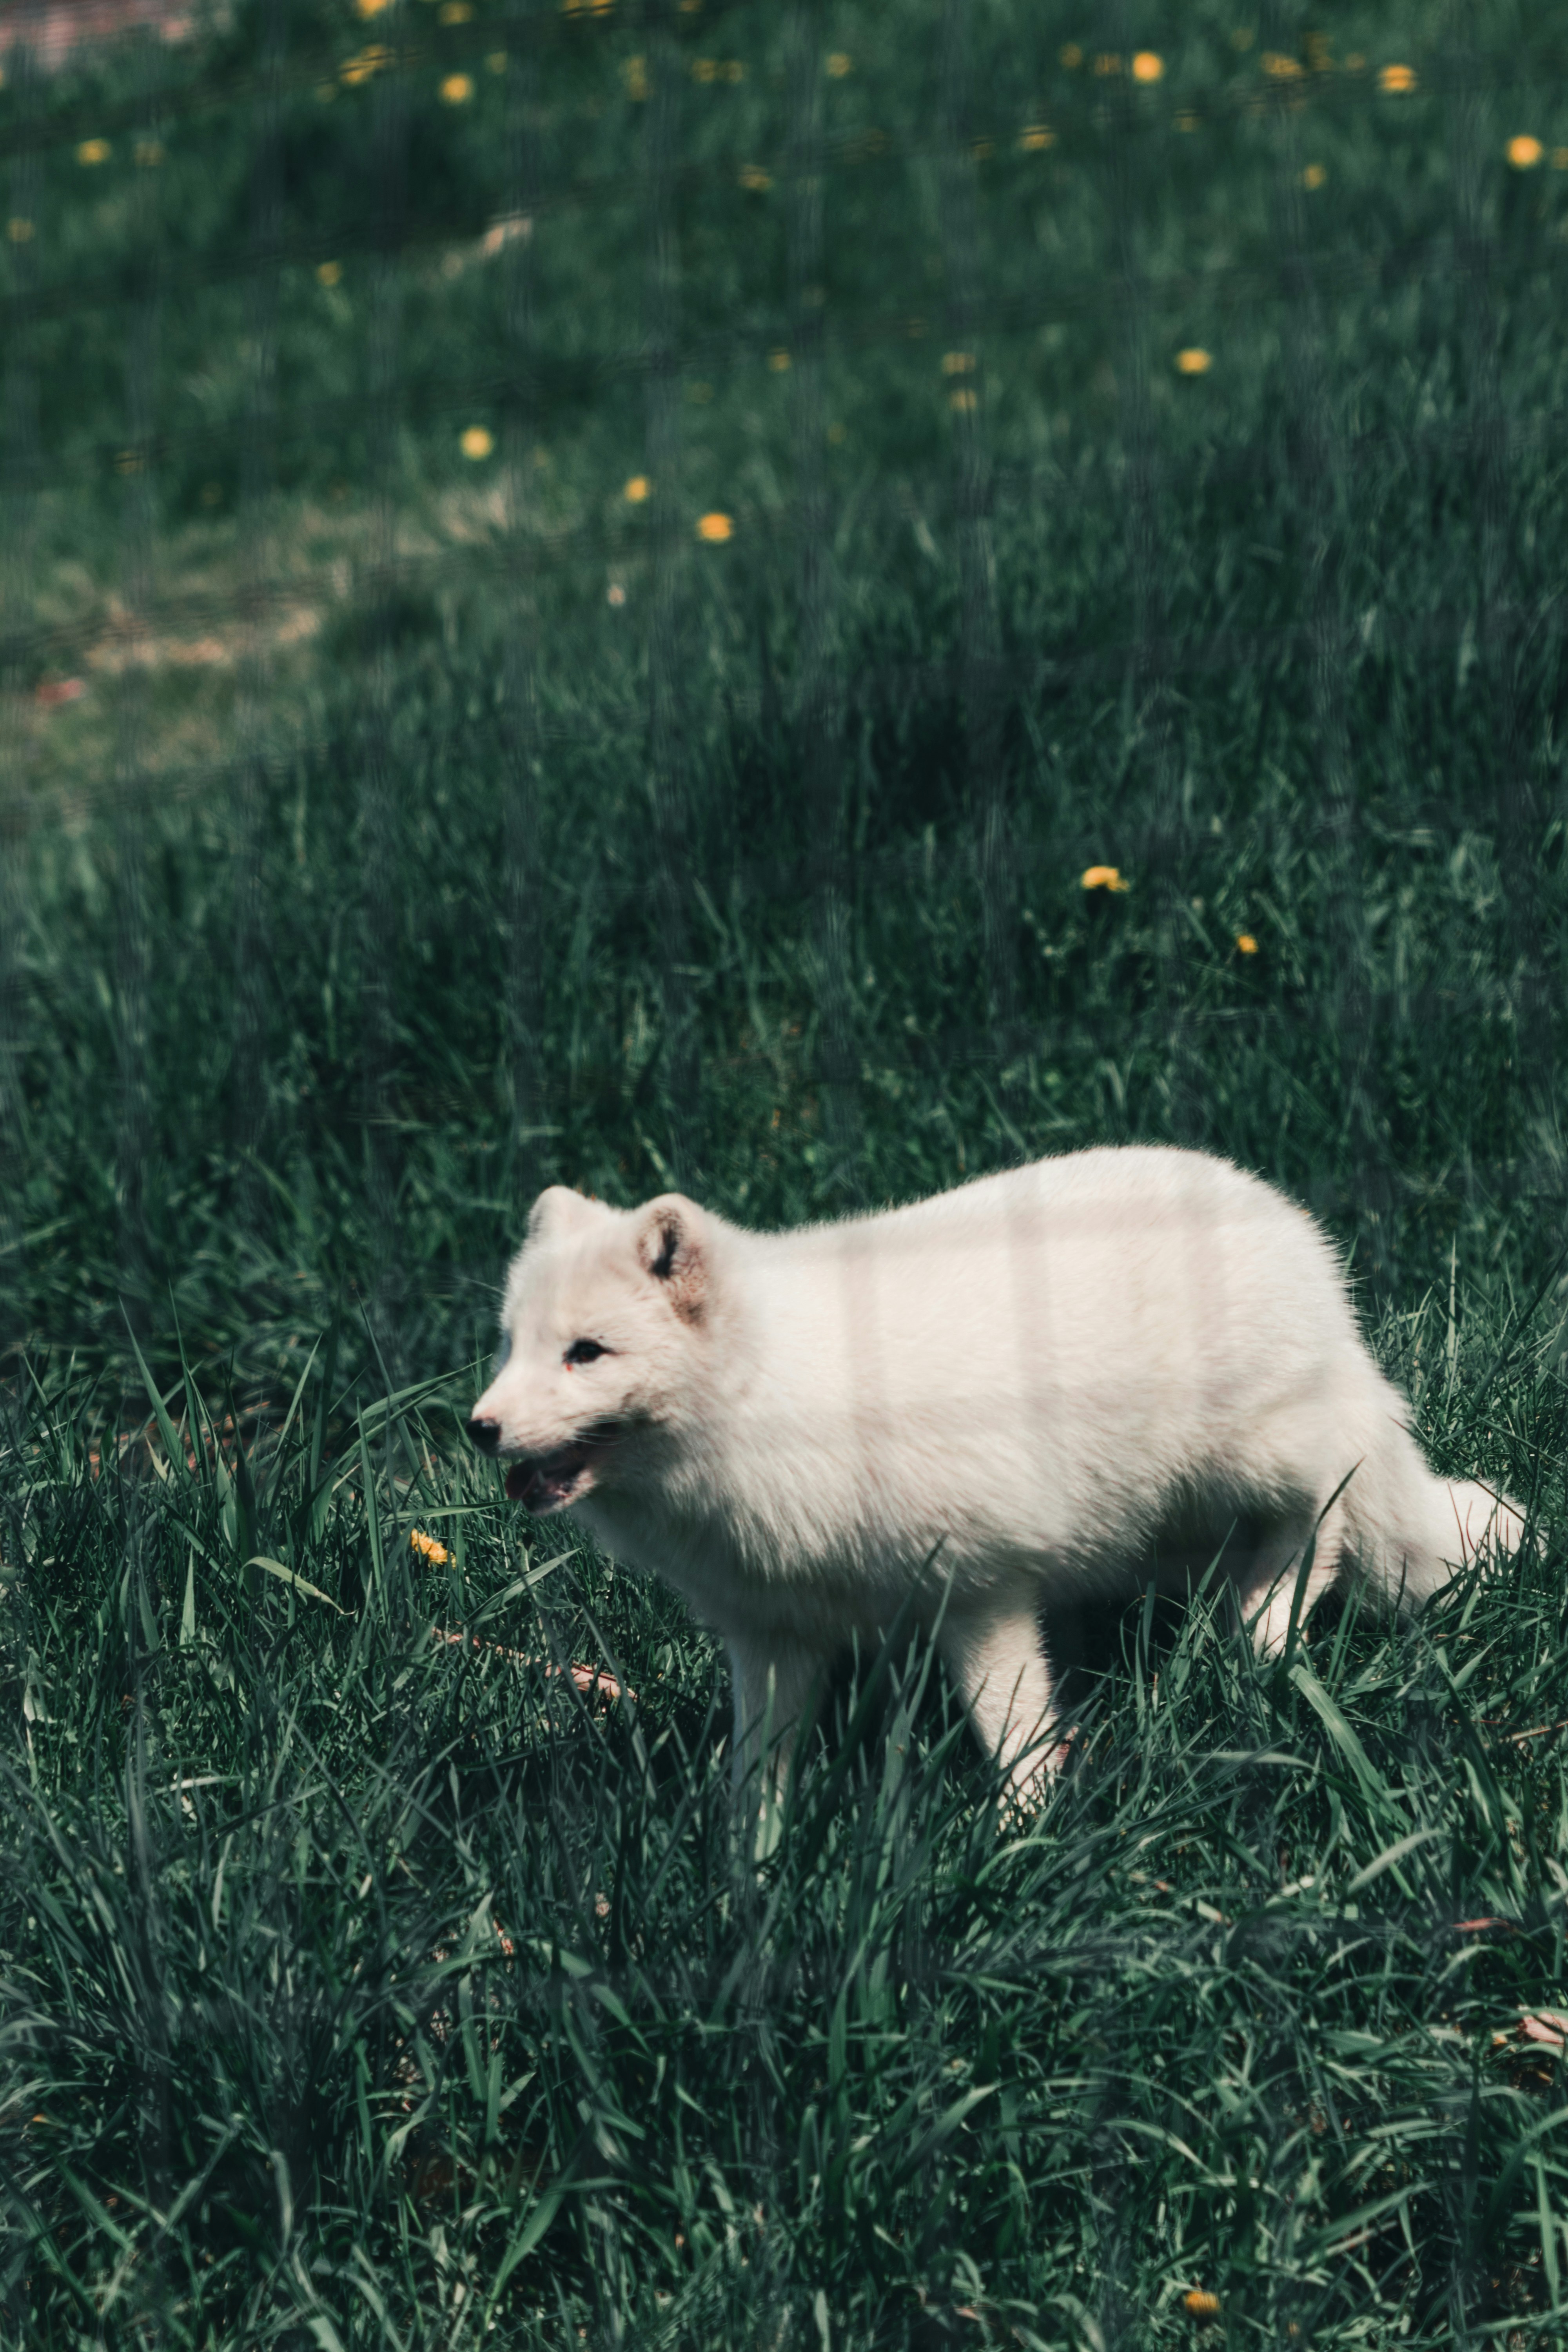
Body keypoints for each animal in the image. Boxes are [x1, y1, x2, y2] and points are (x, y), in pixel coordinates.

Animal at [467, 1146, 1530, 1799]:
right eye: (513, 1344)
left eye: (587, 1353)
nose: (478, 1428)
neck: (776, 1394)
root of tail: (1295, 1235)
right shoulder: (773, 1634)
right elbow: (755, 1785)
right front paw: (750, 1890)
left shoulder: (981, 1590)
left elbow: (1012, 1736)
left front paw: (1024, 1844)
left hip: (1267, 1462)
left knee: (1322, 1525)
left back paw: (1259, 1644)